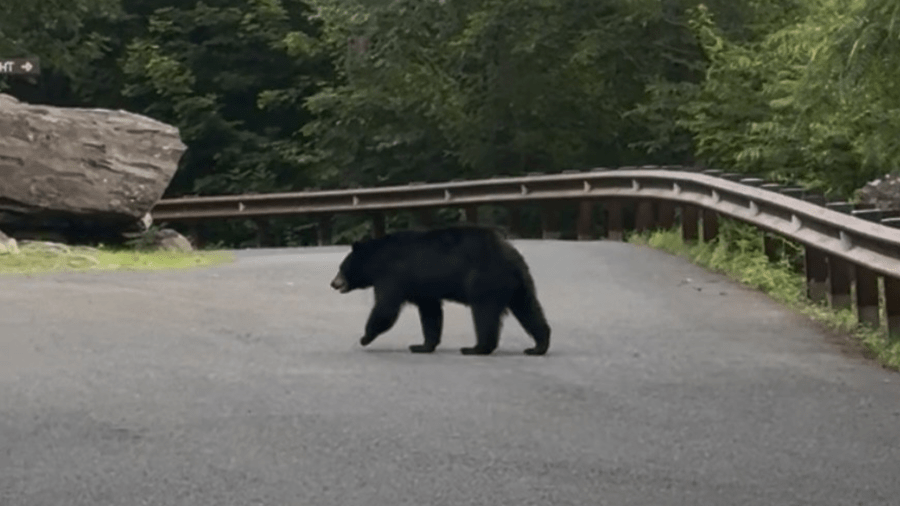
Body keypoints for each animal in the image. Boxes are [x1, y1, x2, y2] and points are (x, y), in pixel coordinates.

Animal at [329, 224, 551, 356]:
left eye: (341, 267)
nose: (333, 283)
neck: (377, 260)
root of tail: (510, 253)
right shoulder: (423, 289)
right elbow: (431, 313)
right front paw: (422, 345)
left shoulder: (394, 275)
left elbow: (386, 307)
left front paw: (364, 337)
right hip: (518, 285)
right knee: (529, 310)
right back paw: (538, 346)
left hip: (484, 279)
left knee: (484, 313)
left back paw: (476, 348)